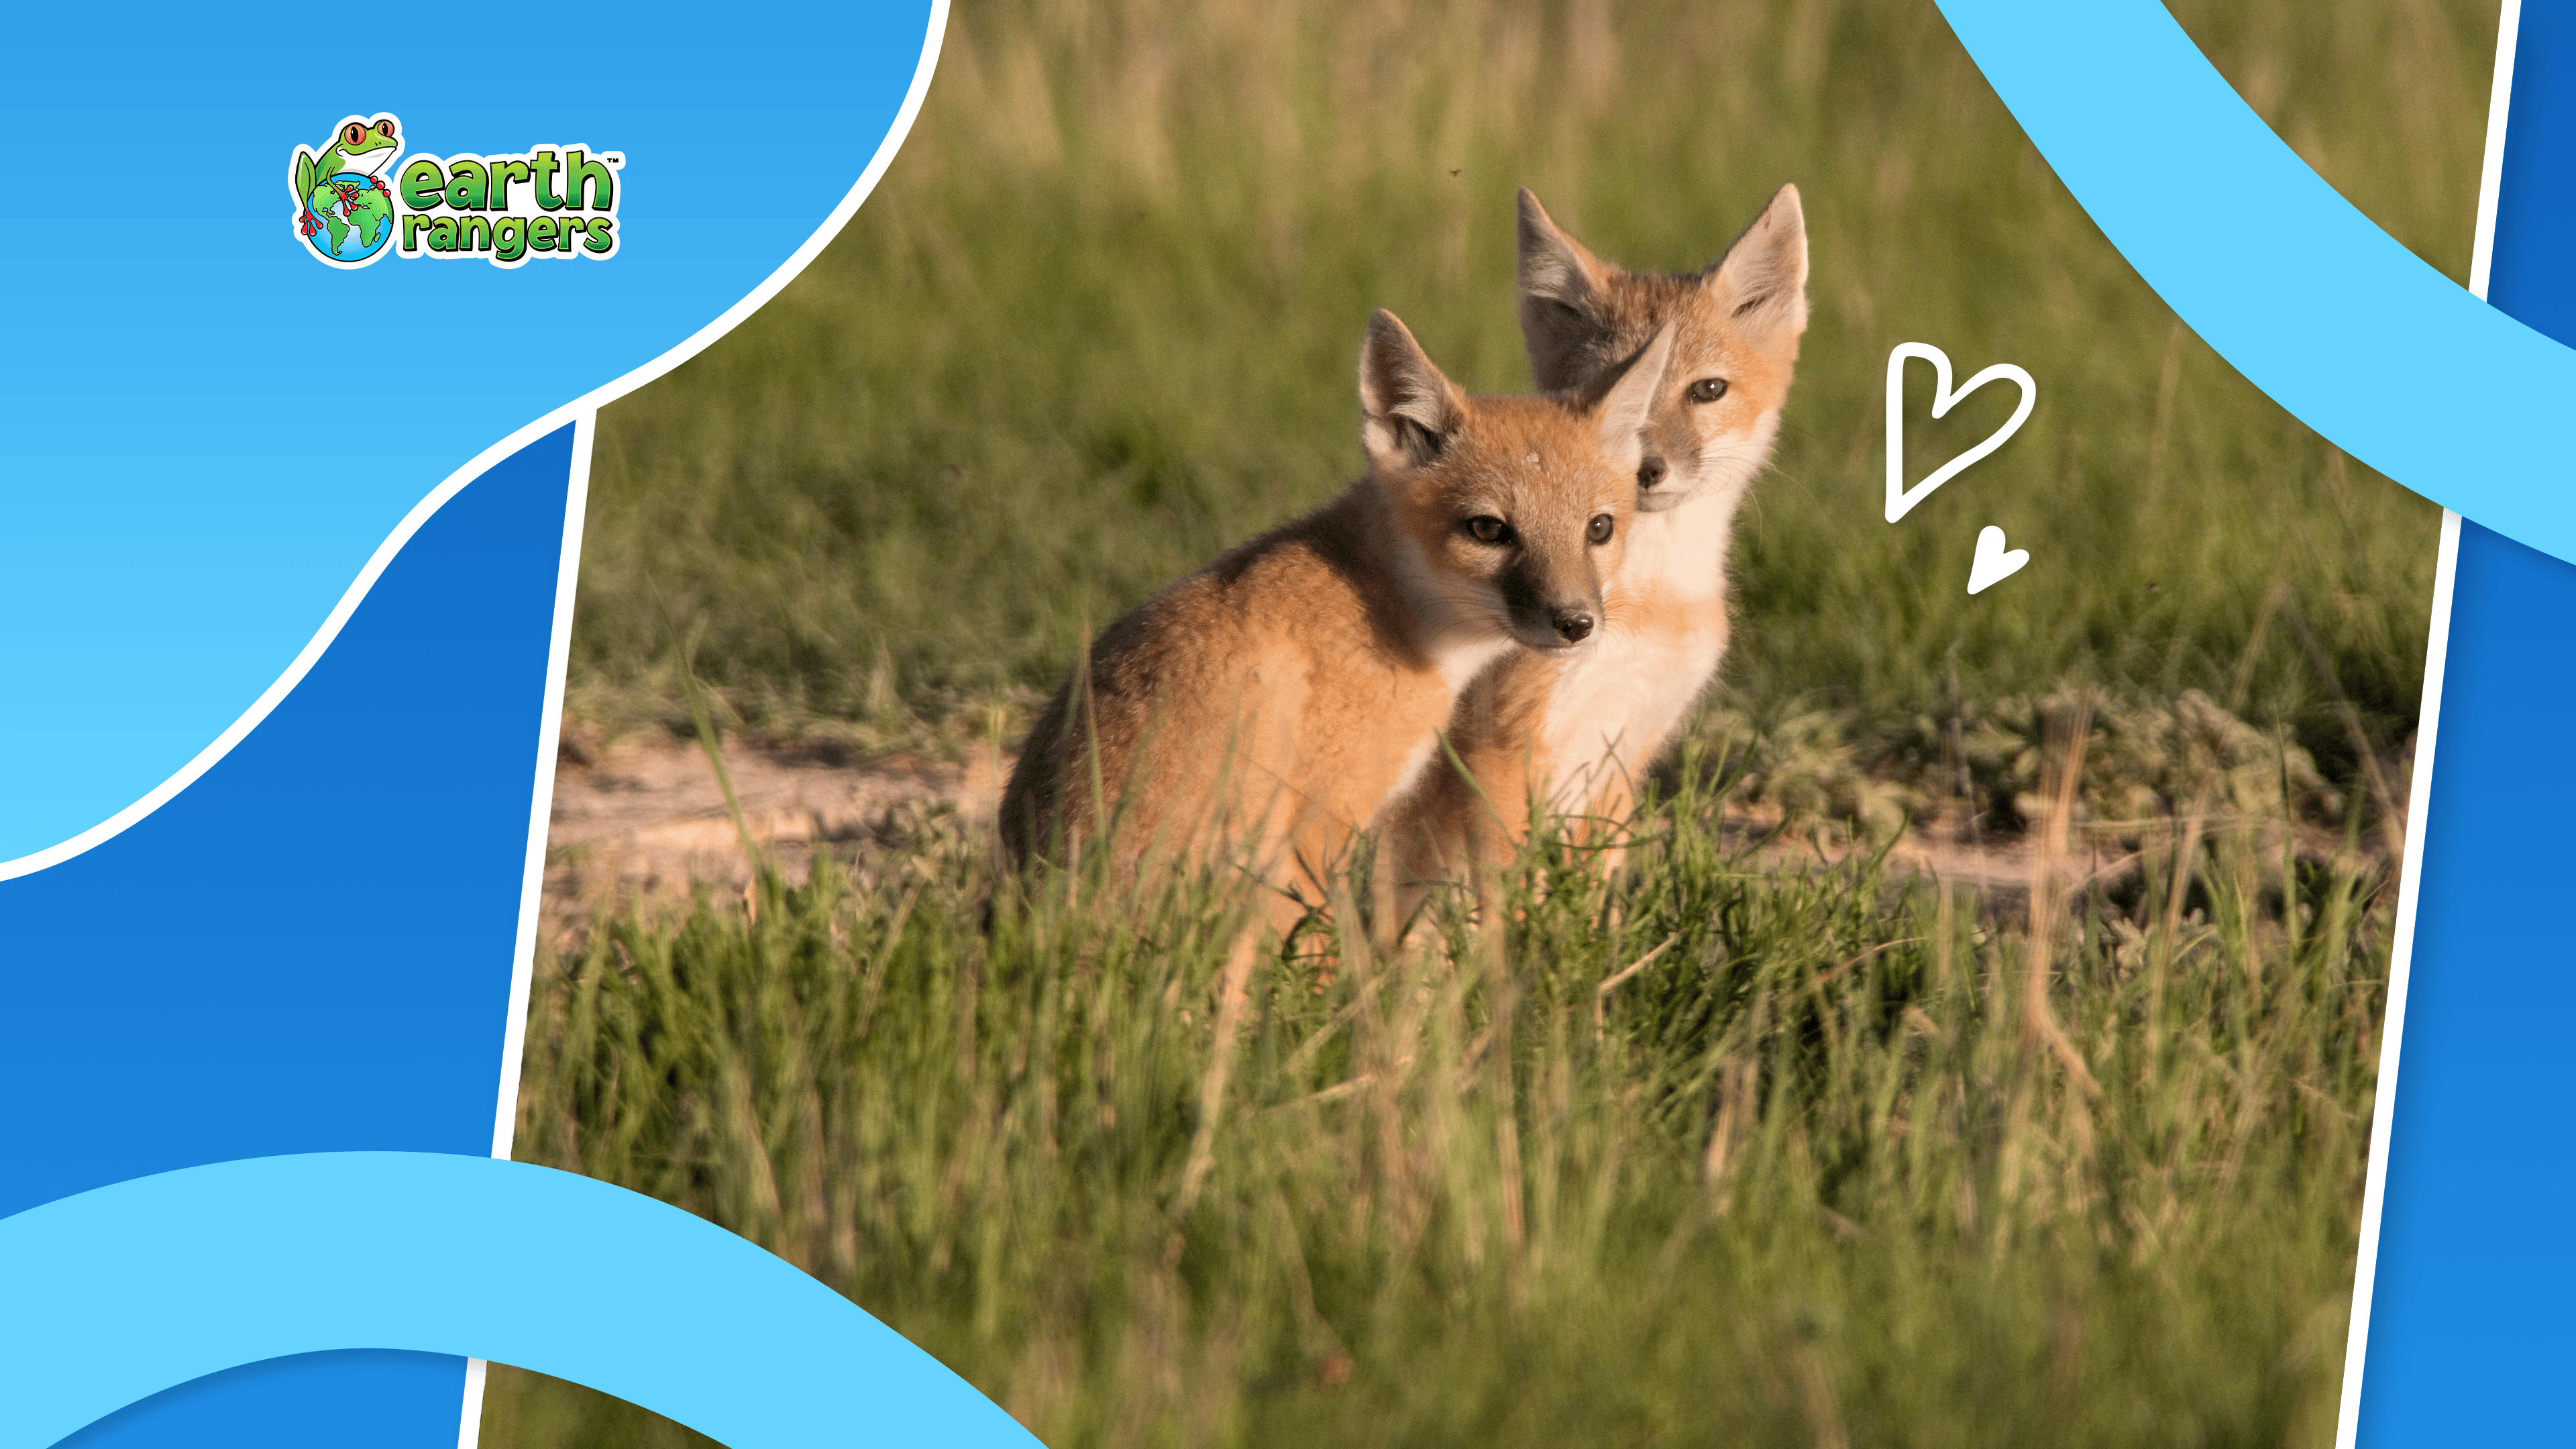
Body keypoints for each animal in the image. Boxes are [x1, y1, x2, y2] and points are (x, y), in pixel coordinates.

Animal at [1383, 185, 1810, 898]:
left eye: (1708, 390)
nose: (1644, 469)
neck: (1646, 606)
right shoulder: (1505, 750)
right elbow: (1513, 898)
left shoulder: (1624, 754)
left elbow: (1592, 901)